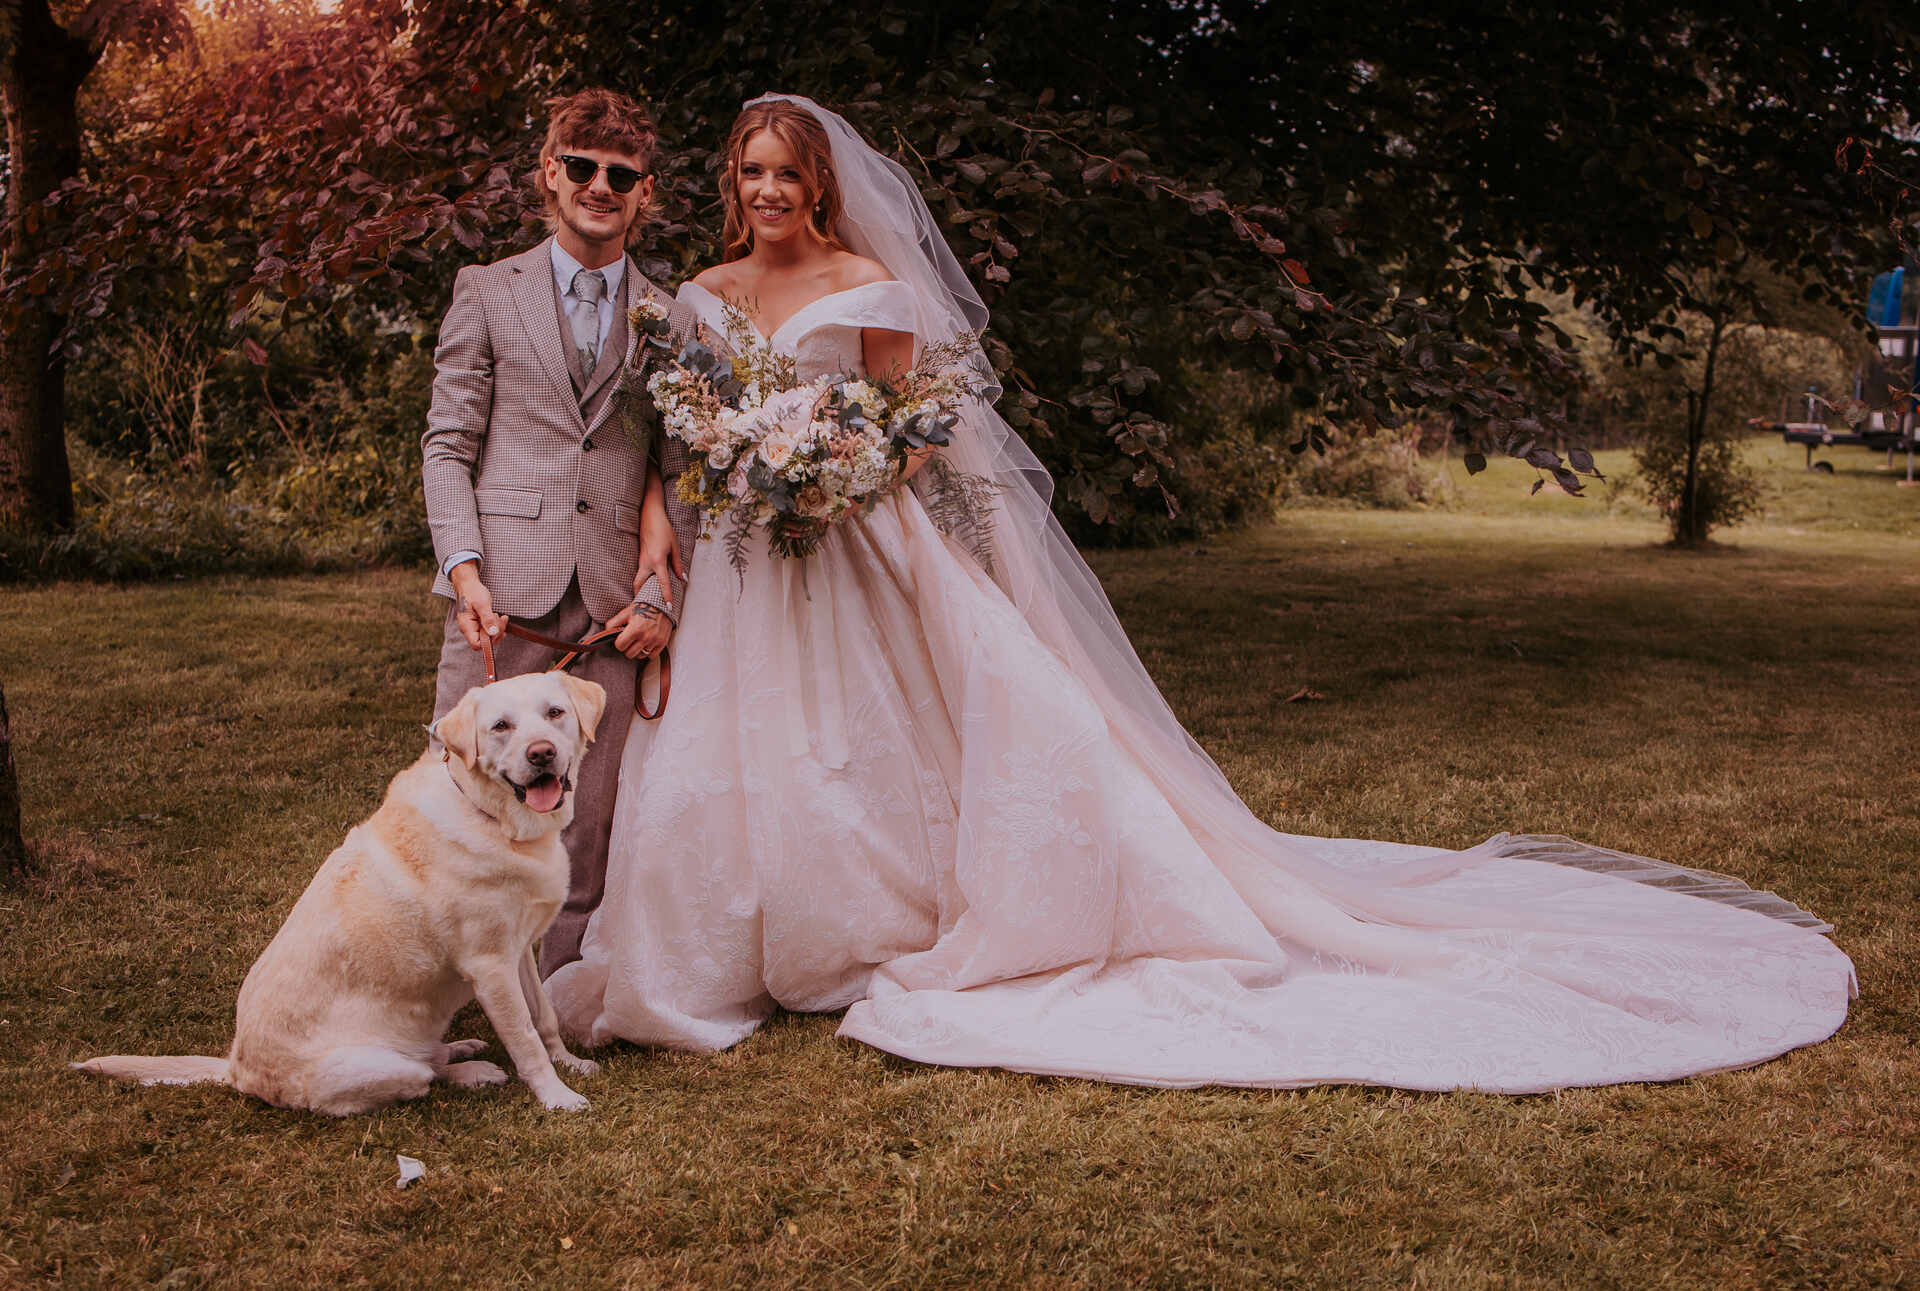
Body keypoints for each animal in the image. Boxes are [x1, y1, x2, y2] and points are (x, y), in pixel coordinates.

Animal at [80, 672, 606, 1114]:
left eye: (555, 713)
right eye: (500, 726)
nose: (541, 753)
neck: (494, 818)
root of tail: (236, 1070)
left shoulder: (517, 951)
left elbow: (544, 1018)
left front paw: (569, 1064)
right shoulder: (490, 965)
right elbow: (524, 1037)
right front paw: (557, 1097)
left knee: (432, 1059)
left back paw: (461, 1049)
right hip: (385, 1066)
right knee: (424, 1075)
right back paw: (472, 1070)